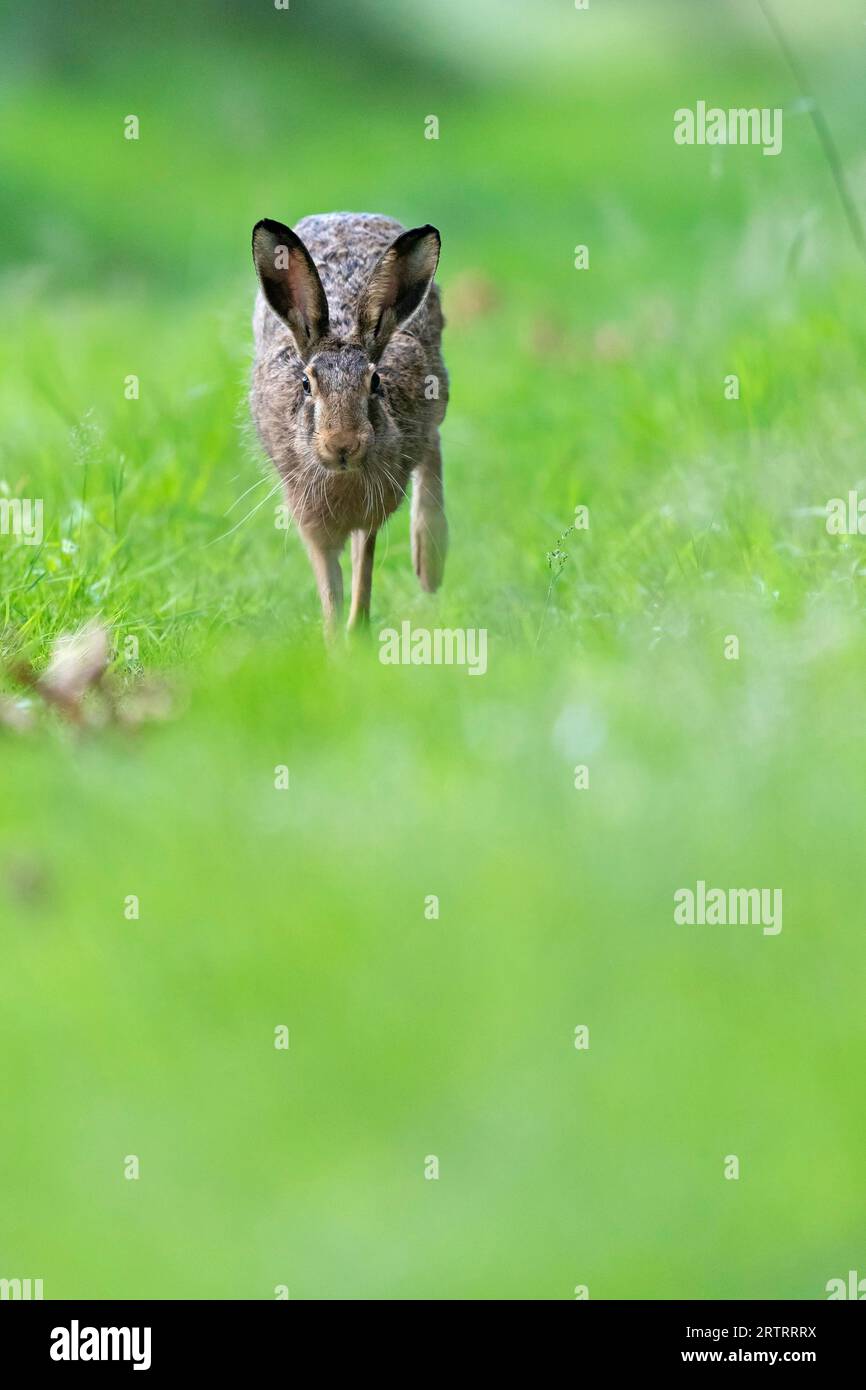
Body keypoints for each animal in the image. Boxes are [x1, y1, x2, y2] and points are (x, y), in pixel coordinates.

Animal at [250, 212, 449, 633]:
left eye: (374, 383)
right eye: (306, 384)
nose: (342, 444)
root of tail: (348, 214)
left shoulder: (373, 511)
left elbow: (364, 569)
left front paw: (358, 633)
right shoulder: (311, 521)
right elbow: (330, 587)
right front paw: (334, 640)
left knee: (433, 447)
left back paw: (430, 561)